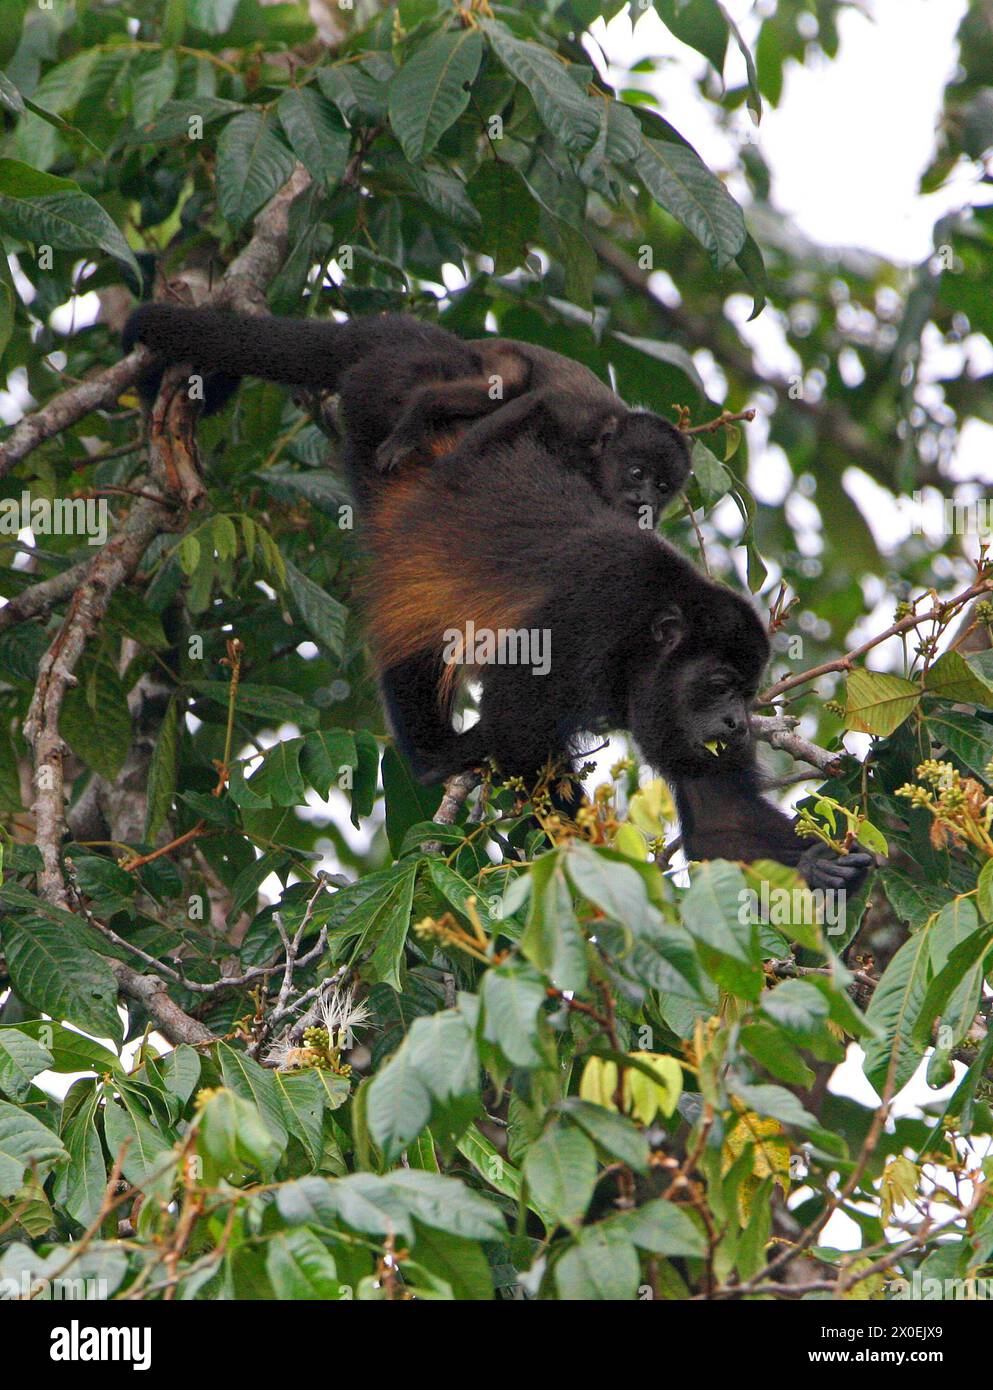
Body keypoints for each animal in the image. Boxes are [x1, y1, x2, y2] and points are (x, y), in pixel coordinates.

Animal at [122, 305, 689, 526]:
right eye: (636, 472)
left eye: (662, 486)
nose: (644, 497)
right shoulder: (578, 420)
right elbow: (533, 404)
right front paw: (454, 468)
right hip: (492, 357)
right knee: (505, 382)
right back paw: (419, 415)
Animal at [359, 435, 873, 893]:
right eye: (720, 684)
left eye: (747, 695)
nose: (738, 724)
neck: (640, 638)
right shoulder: (586, 619)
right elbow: (516, 731)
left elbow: (719, 814)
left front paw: (817, 864)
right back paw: (439, 753)